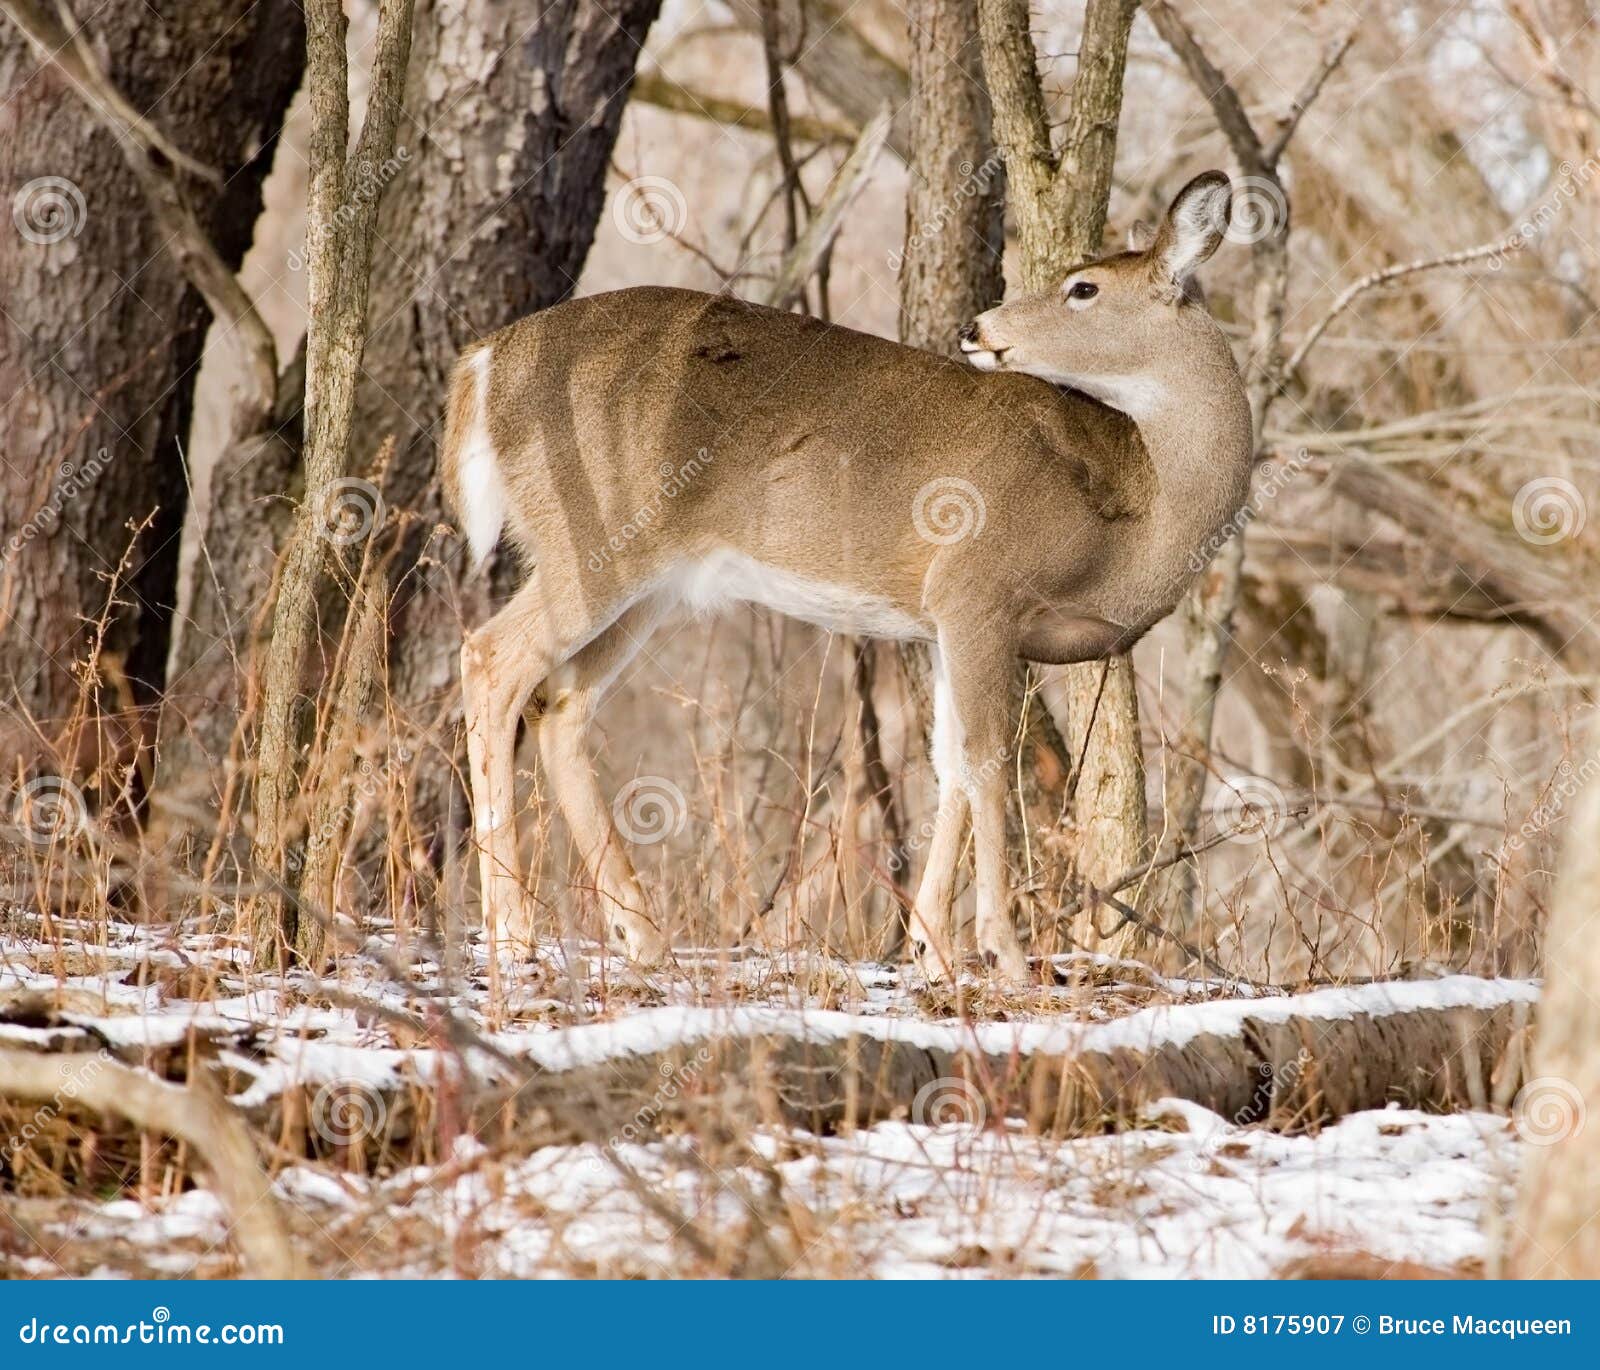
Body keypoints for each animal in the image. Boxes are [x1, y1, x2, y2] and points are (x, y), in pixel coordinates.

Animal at [442, 170, 1252, 984]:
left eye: (1084, 287)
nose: (976, 327)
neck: (1140, 512)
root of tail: (484, 360)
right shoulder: (978, 586)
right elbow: (989, 763)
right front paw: (1004, 952)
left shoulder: (945, 617)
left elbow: (949, 763)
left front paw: (931, 945)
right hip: (596, 534)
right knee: (492, 658)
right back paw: (514, 932)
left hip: (654, 581)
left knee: (563, 704)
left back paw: (641, 936)